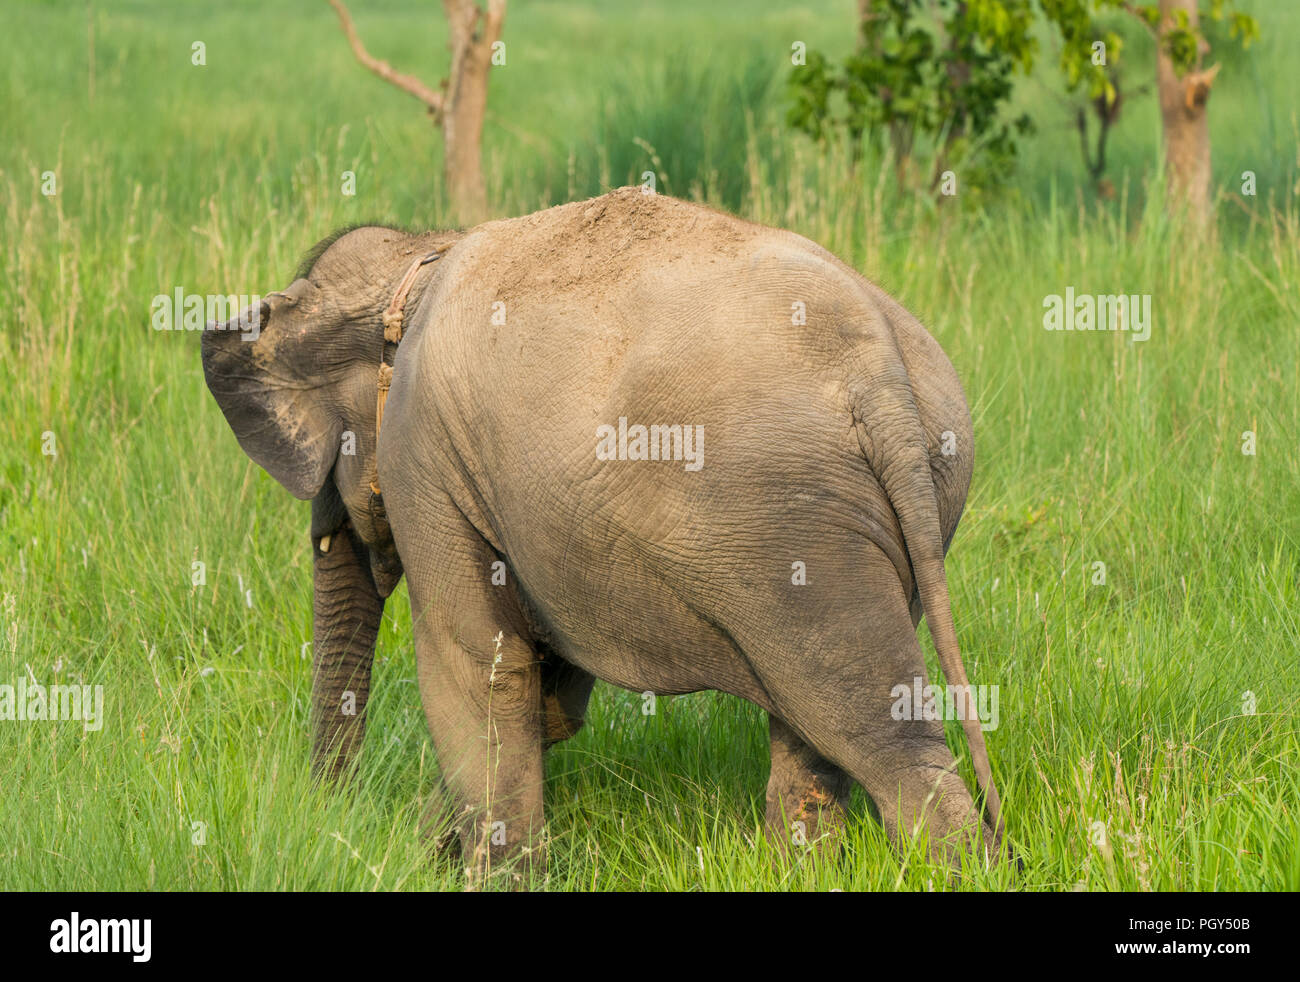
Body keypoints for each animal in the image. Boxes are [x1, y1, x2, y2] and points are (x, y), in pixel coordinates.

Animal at [201, 186, 1003, 882]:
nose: (334, 822)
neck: (418, 254)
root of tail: (880, 370)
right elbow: (546, 693)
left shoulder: (425, 454)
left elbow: (478, 666)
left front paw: (490, 877)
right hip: (895, 508)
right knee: (815, 719)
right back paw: (796, 872)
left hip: (794, 526)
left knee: (878, 734)